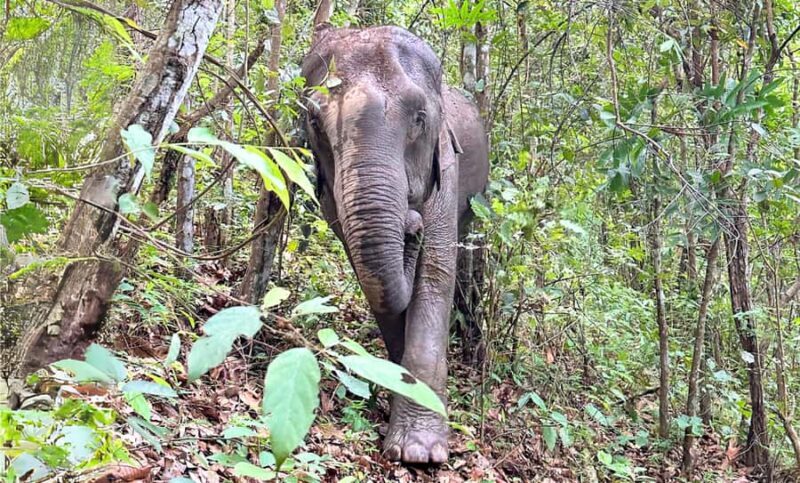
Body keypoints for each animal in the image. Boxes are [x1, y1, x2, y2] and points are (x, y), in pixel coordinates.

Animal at [301, 25, 490, 464]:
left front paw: (419, 452)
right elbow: (370, 275)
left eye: (420, 118)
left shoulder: (447, 169)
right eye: (314, 121)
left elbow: (435, 273)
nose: (410, 223)